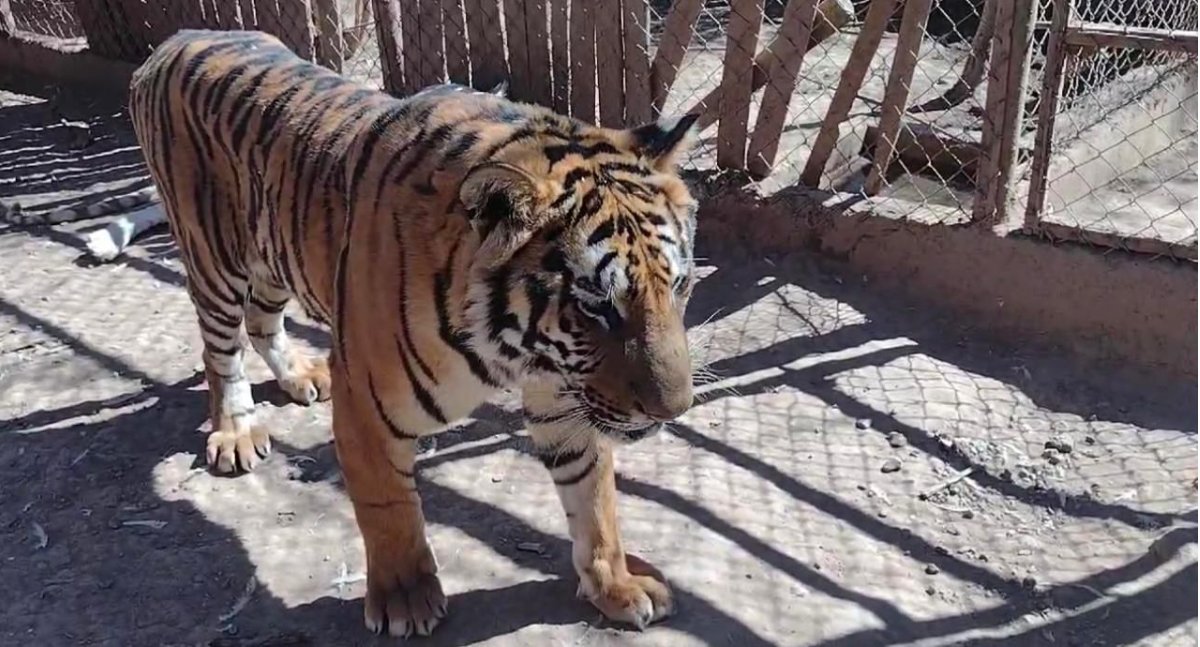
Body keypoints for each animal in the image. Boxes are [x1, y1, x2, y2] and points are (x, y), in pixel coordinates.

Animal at [129, 29, 700, 638]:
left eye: (680, 284)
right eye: (596, 305)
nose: (674, 410)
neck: (515, 349)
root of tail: (177, 40)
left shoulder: (563, 395)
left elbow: (593, 498)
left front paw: (617, 584)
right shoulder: (367, 406)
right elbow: (389, 507)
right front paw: (405, 597)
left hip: (275, 254)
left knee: (261, 321)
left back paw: (301, 376)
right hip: (214, 257)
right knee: (221, 351)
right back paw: (236, 431)